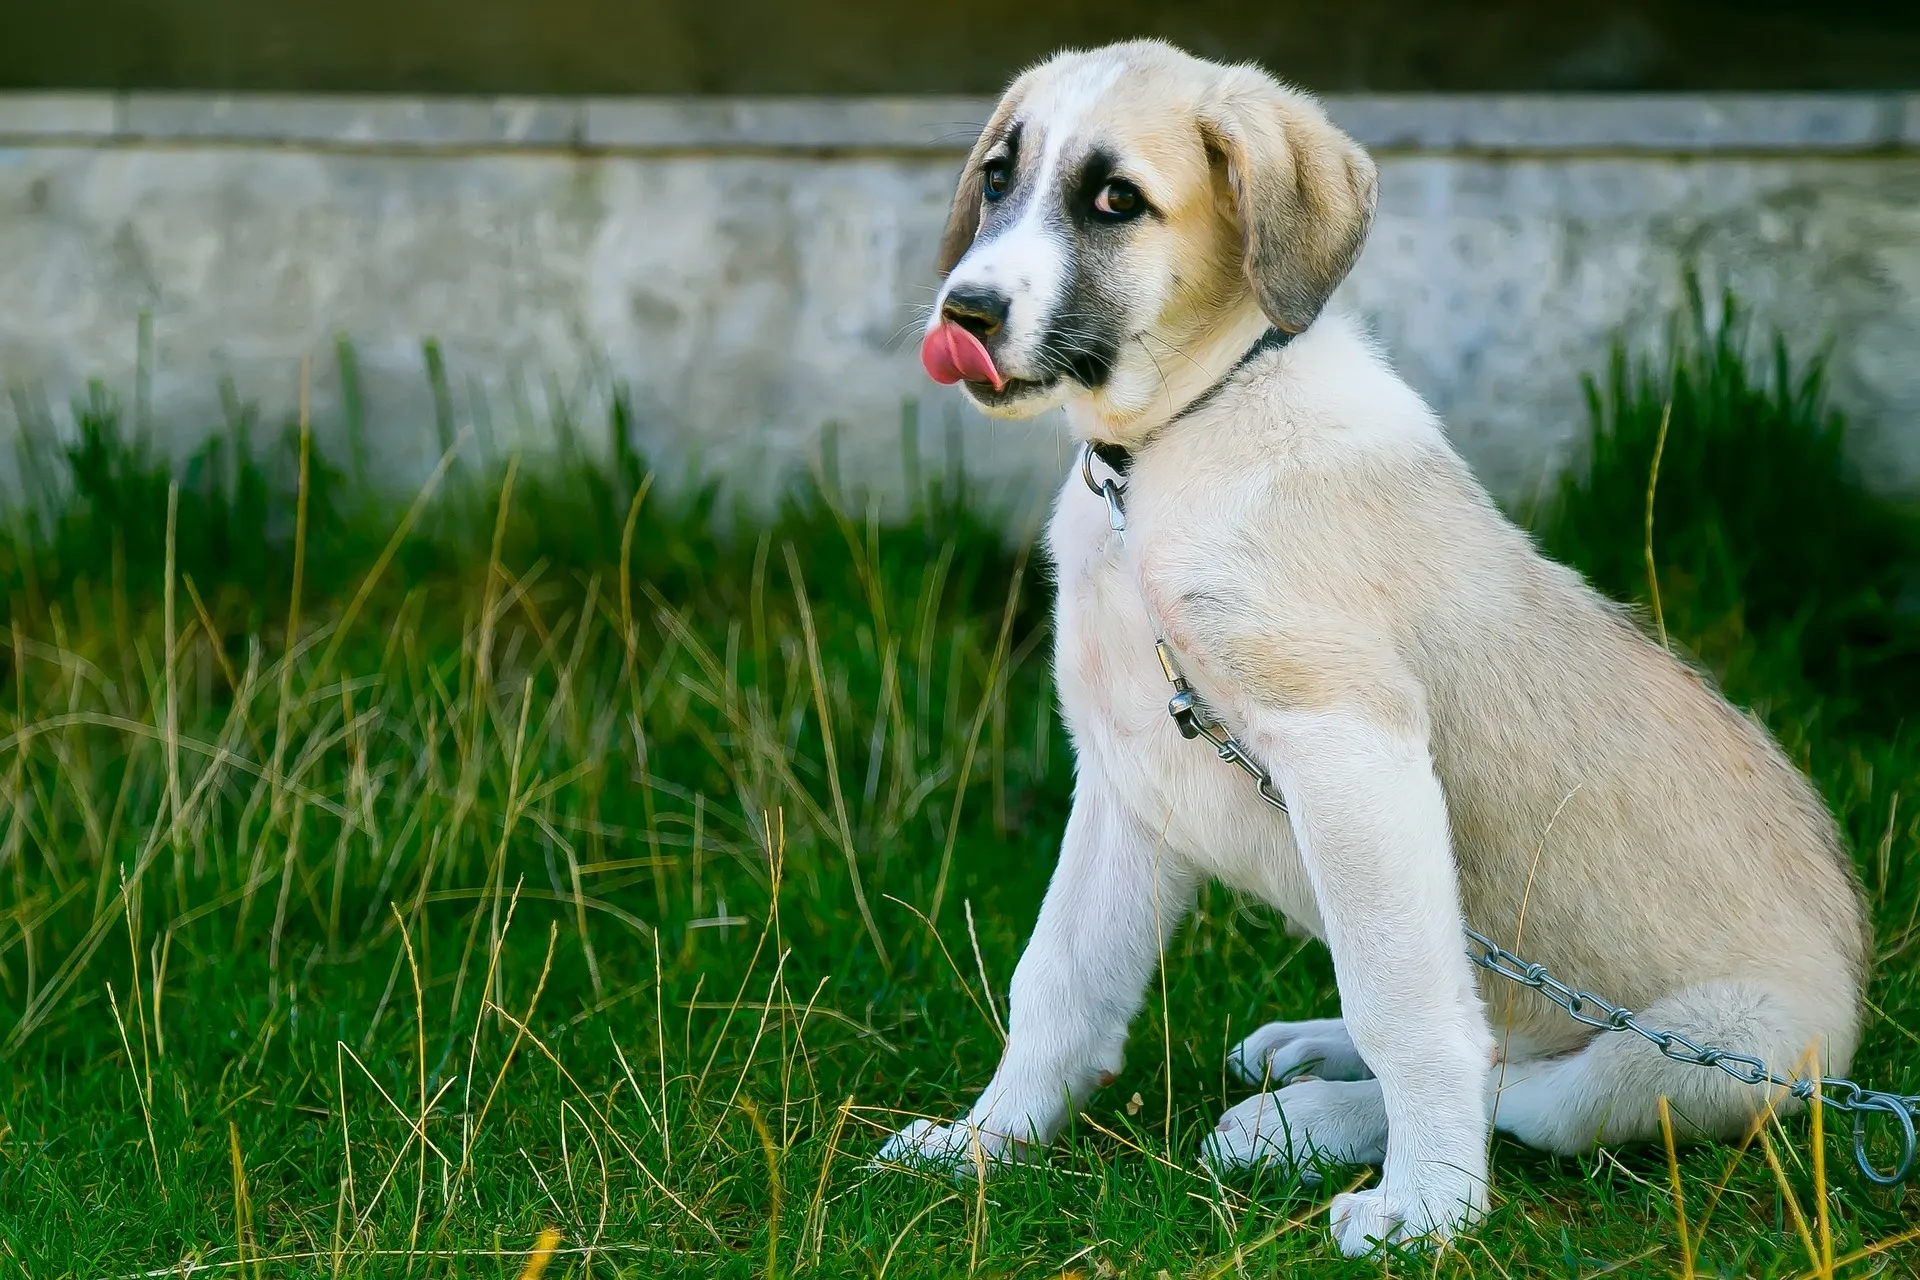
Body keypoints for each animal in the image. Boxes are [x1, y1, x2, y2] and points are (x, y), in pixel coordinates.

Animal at [879, 35, 1858, 1258]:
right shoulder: (1126, 776)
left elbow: (1407, 1008)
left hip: (1720, 1051)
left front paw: (1430, 1205)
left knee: (1526, 1083)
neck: (1175, 447)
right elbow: (1057, 979)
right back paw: (1307, 1053)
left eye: (1115, 201)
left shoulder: (1350, 749)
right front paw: (986, 1143)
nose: (962, 311)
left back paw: (1306, 1124)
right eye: (999, 178)